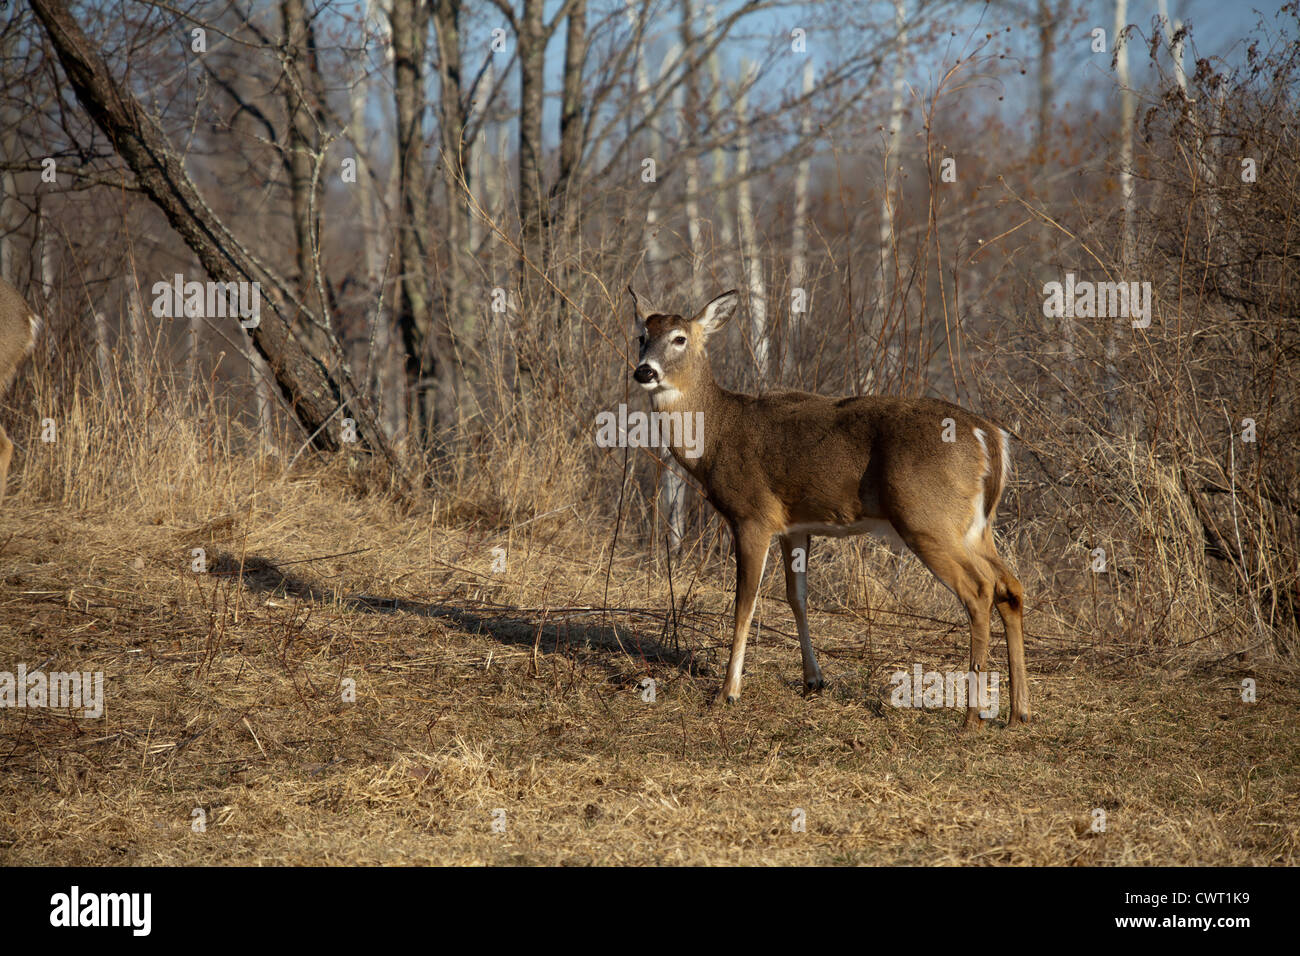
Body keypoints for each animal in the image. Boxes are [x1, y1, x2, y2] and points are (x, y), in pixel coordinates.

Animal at [629, 287, 1029, 729]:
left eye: (679, 338)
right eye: (641, 336)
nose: (644, 372)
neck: (715, 436)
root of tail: (990, 436)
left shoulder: (752, 515)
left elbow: (744, 603)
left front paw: (728, 692)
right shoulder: (794, 525)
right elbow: (797, 597)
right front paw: (813, 680)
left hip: (928, 519)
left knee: (979, 590)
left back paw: (973, 716)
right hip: (975, 526)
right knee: (1011, 586)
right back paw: (1019, 712)